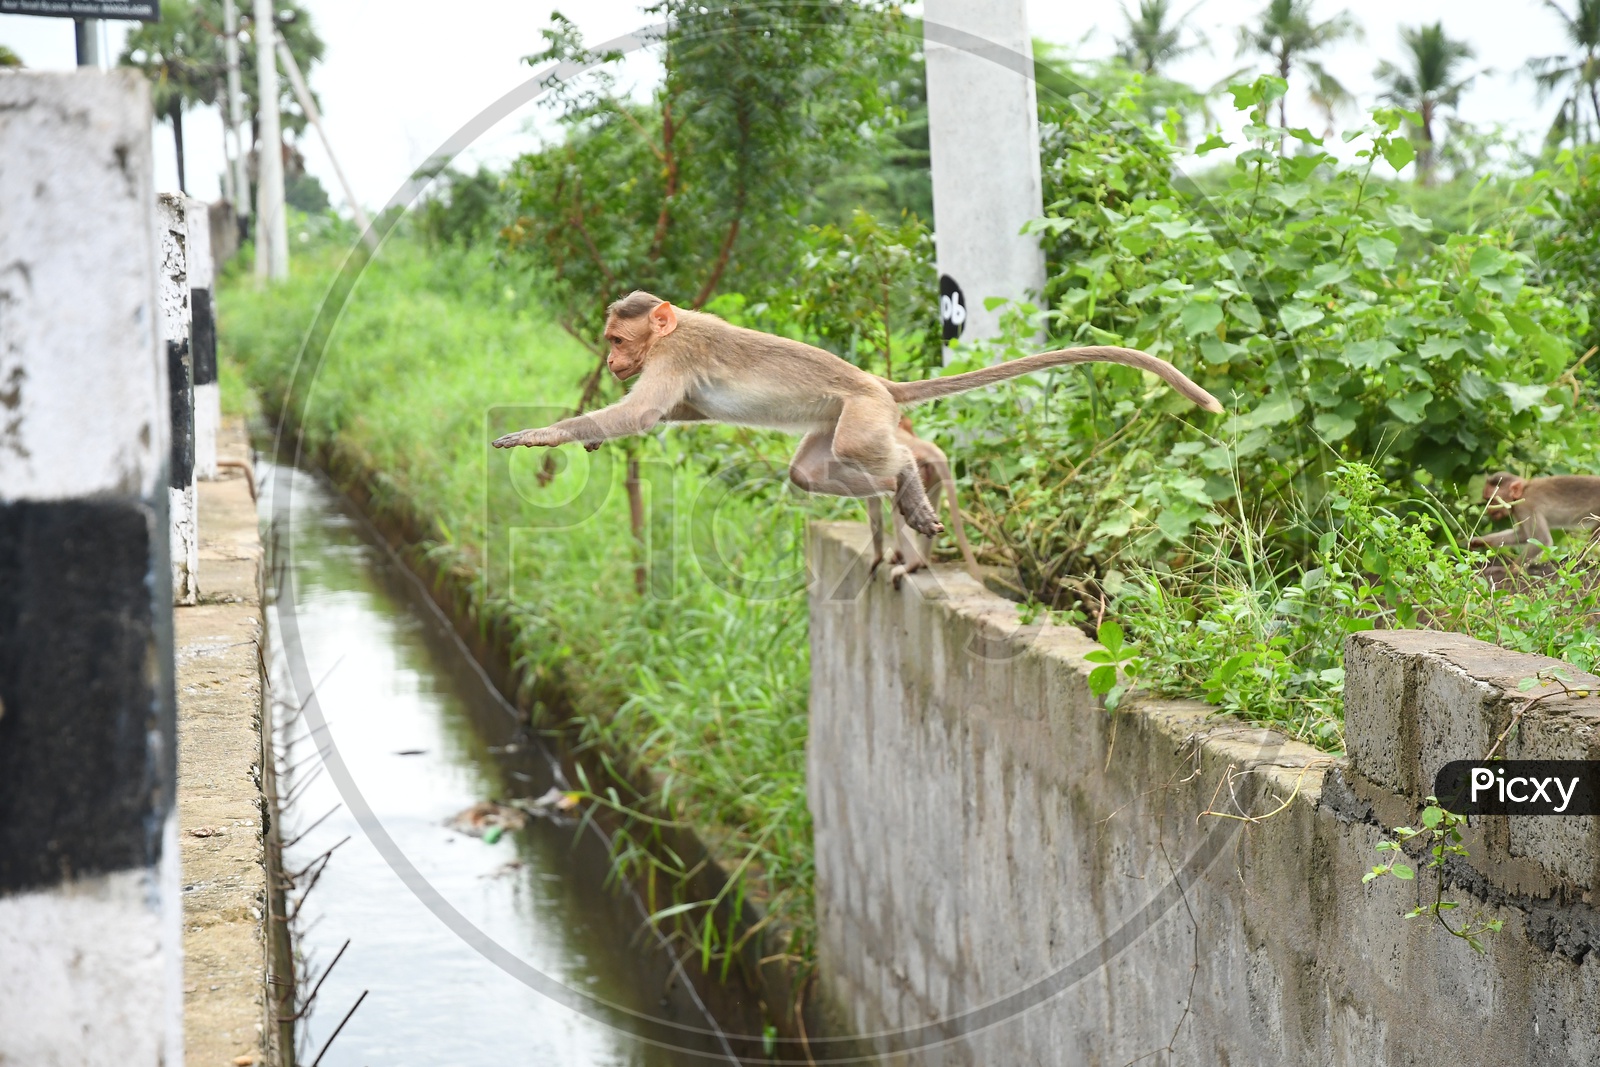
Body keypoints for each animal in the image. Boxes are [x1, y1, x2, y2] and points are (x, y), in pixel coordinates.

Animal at [492, 292, 1223, 537]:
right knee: (811, 472)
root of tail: (880, 384)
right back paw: (893, 493)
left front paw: (541, 434)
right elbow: (677, 412)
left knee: (869, 451)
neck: (674, 330)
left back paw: (905, 480)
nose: (613, 362)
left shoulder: (673, 357)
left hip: (865, 415)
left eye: (618, 339)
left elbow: (645, 414)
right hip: (838, 417)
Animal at [868, 418, 984, 588]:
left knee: (899, 512)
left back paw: (912, 565)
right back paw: (922, 561)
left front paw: (877, 559)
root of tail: (921, 446)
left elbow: (875, 511)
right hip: (932, 477)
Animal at [1468, 471, 1600, 560]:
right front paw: (1480, 541)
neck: (1523, 492)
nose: (1488, 509)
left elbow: (1540, 539)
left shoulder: (1526, 507)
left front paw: (1512, 571)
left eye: (1493, 500)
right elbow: (1522, 535)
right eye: (1487, 499)